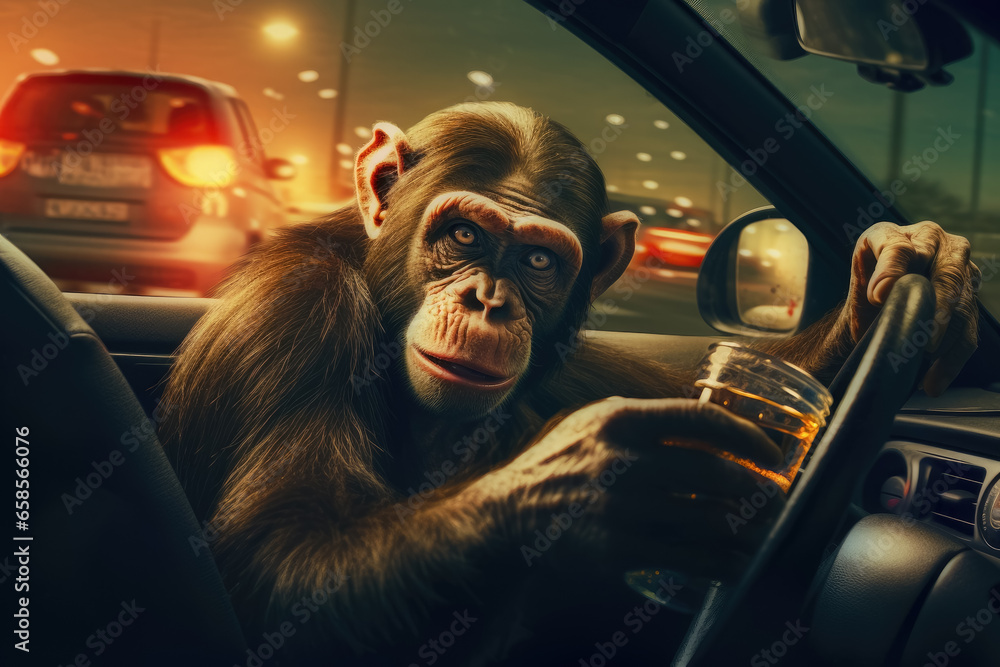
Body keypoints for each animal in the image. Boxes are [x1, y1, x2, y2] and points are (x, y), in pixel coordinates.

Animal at [159, 101, 981, 665]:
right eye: (463, 235)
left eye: (538, 261)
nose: (488, 301)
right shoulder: (295, 317)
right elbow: (281, 564)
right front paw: (590, 482)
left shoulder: (566, 367)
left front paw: (909, 270)